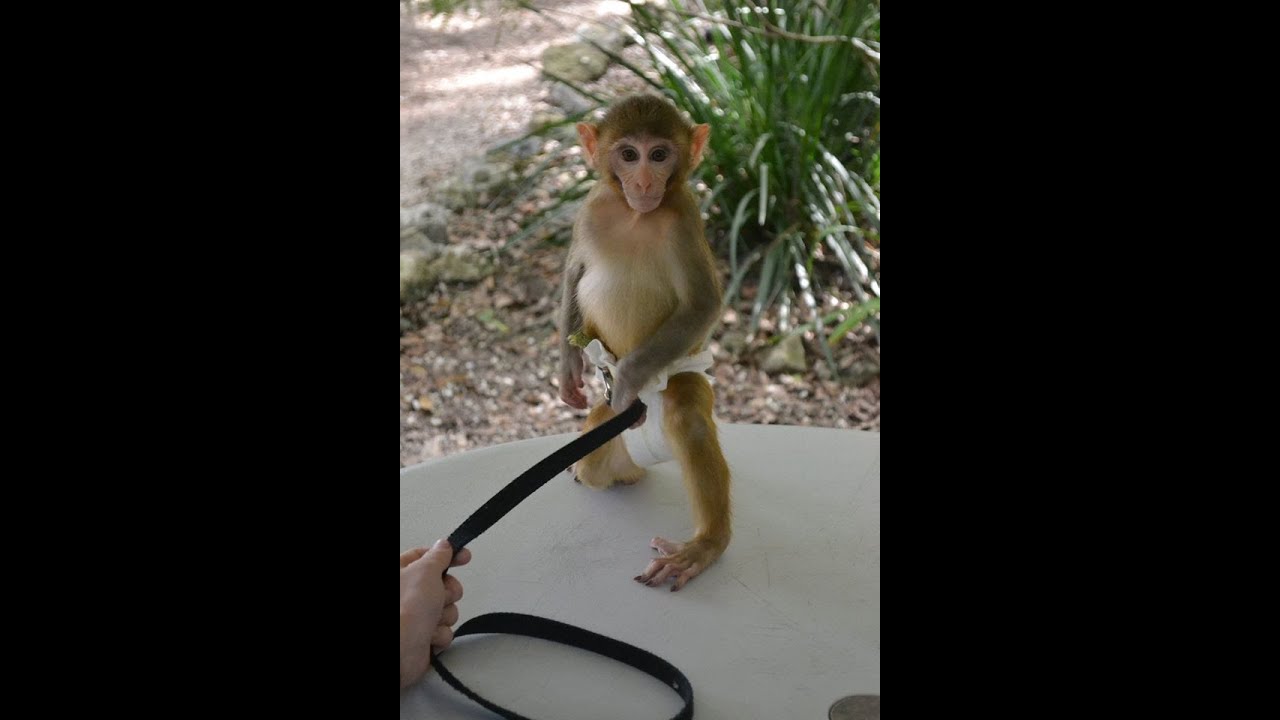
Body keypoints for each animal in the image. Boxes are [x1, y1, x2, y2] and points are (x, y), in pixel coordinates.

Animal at [557, 94, 730, 592]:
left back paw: (705, 545)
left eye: (659, 154)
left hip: (682, 373)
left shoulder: (685, 219)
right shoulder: (592, 207)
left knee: (688, 415)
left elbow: (702, 305)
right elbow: (576, 270)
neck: (636, 215)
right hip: (603, 439)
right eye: (629, 154)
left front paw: (628, 380)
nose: (645, 182)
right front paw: (569, 367)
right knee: (596, 455)